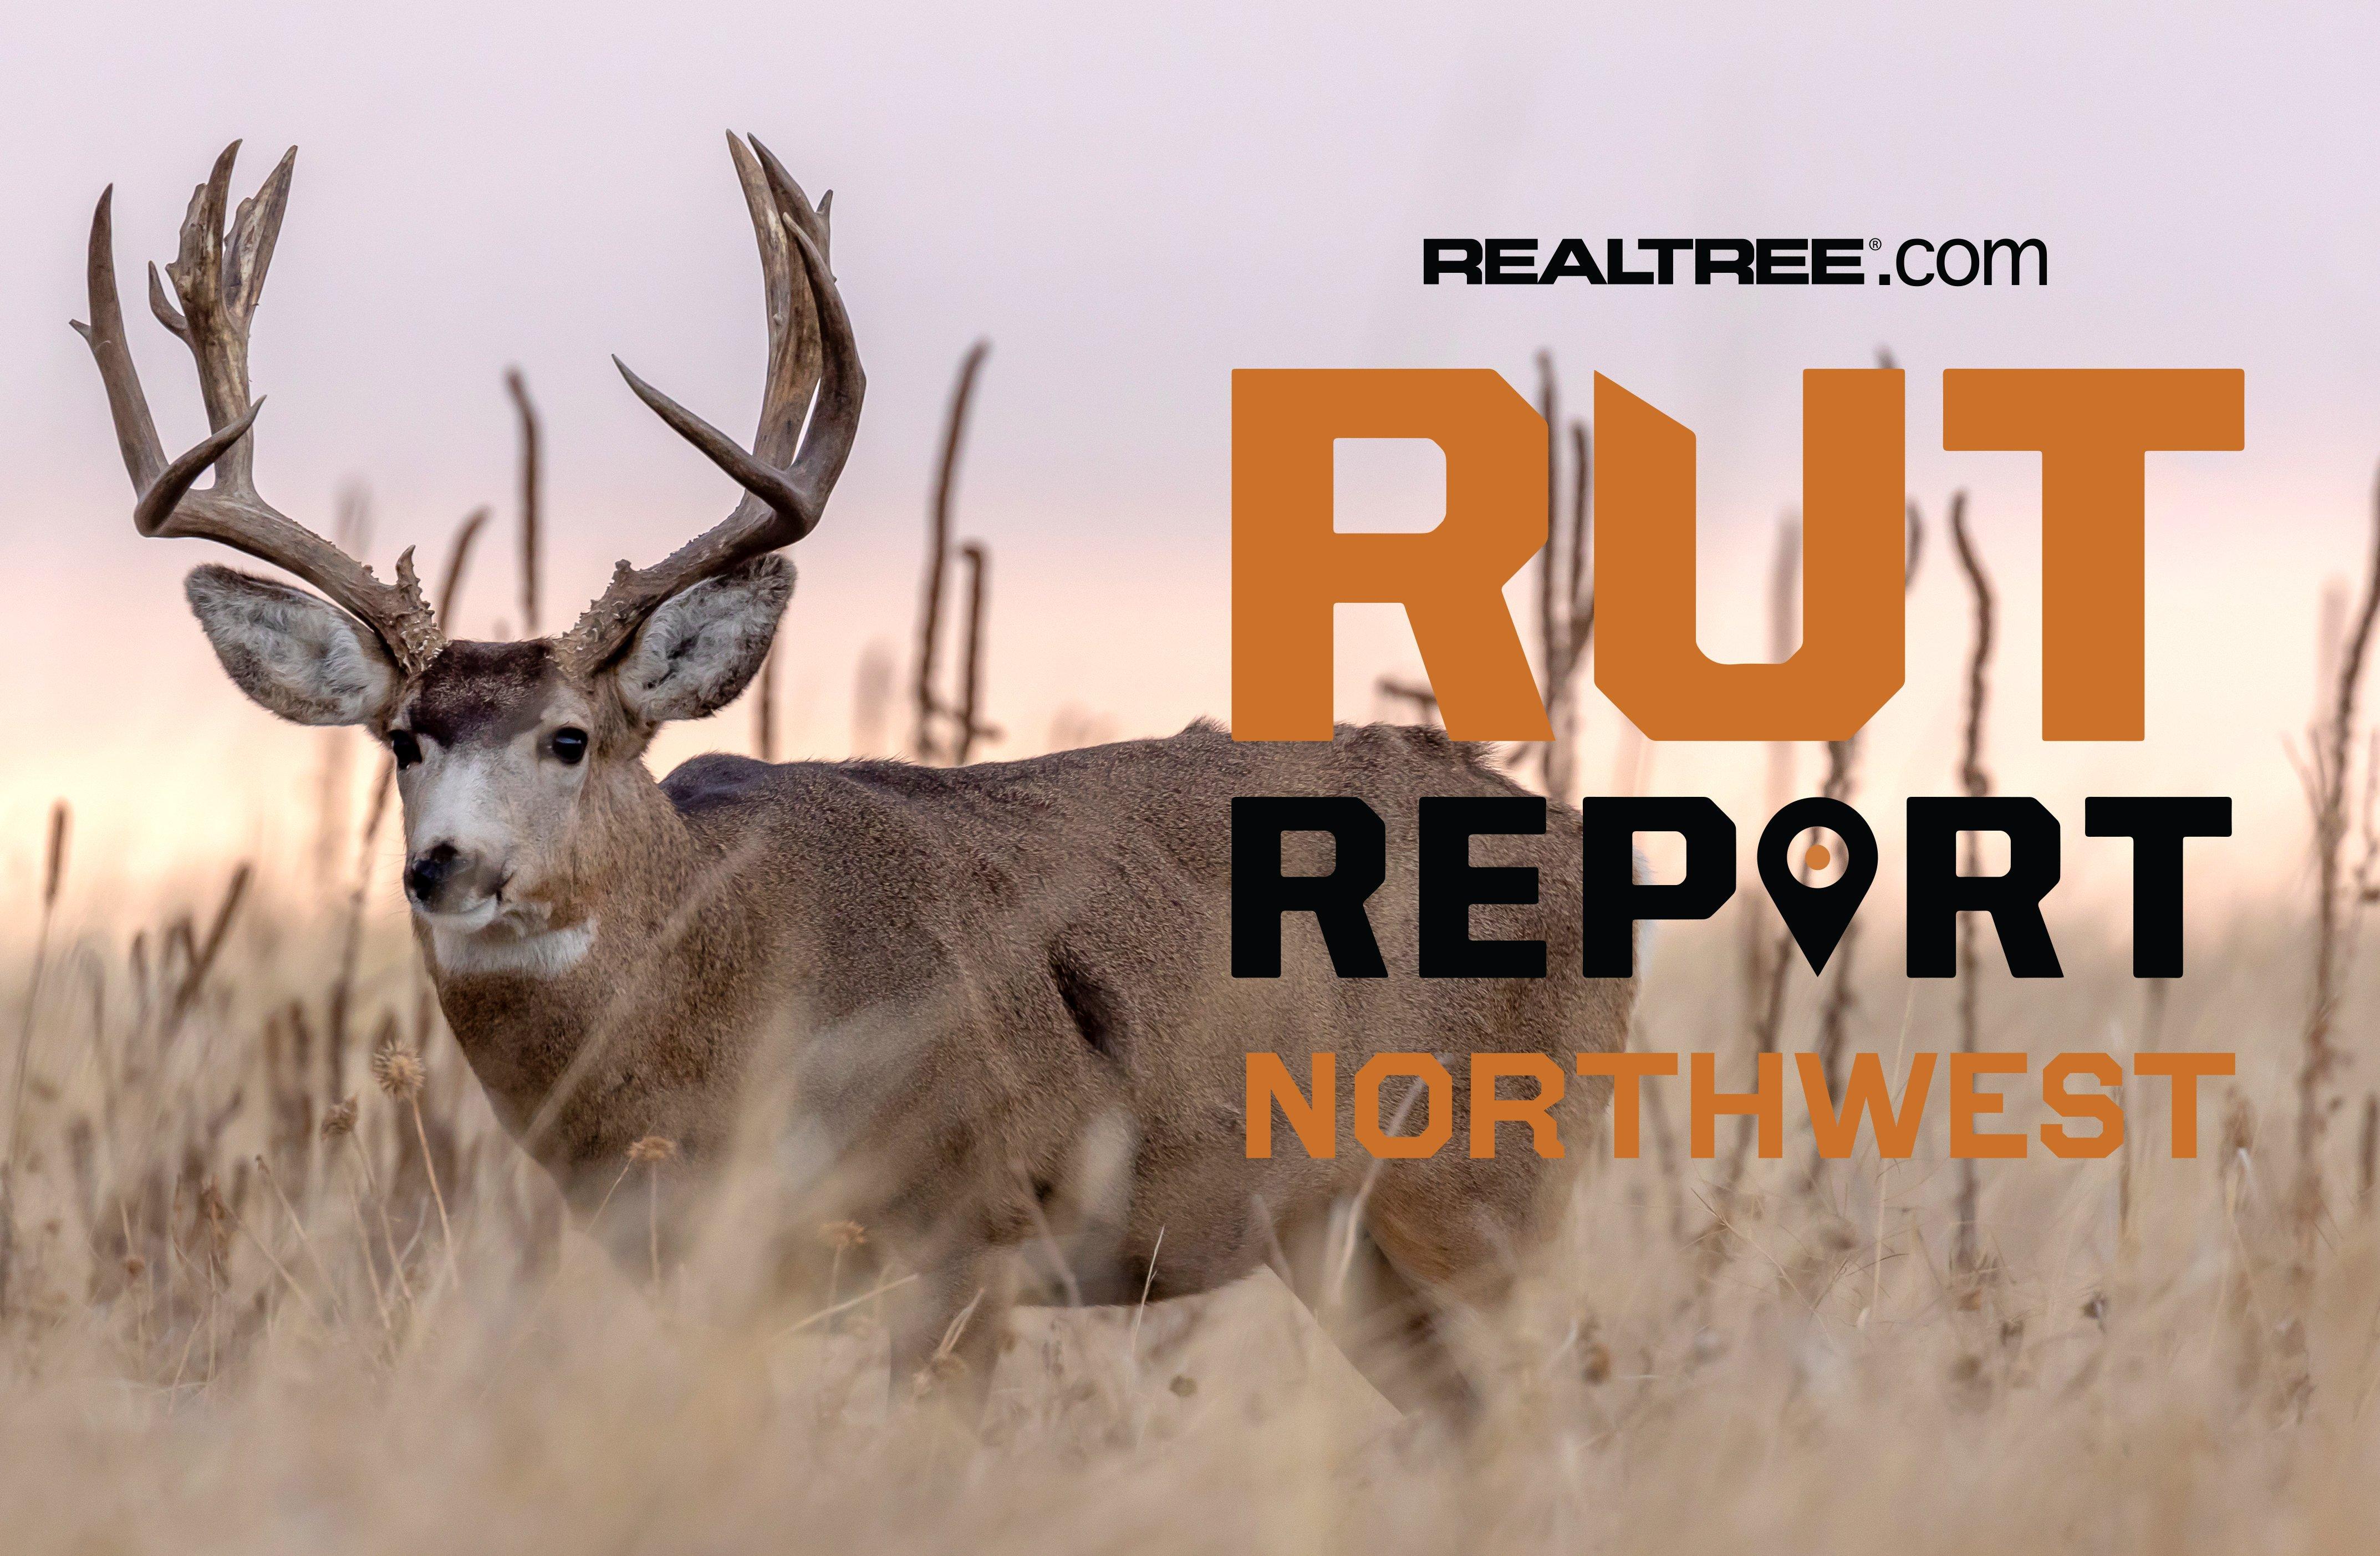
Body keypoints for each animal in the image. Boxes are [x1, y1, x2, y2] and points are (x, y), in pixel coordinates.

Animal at [74, 136, 1631, 1423]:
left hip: (1488, 1181)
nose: (445, 863)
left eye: (571, 737)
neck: (729, 1008)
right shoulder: (687, 1270)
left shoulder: (970, 1225)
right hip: (1345, 1241)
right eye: (404, 738)